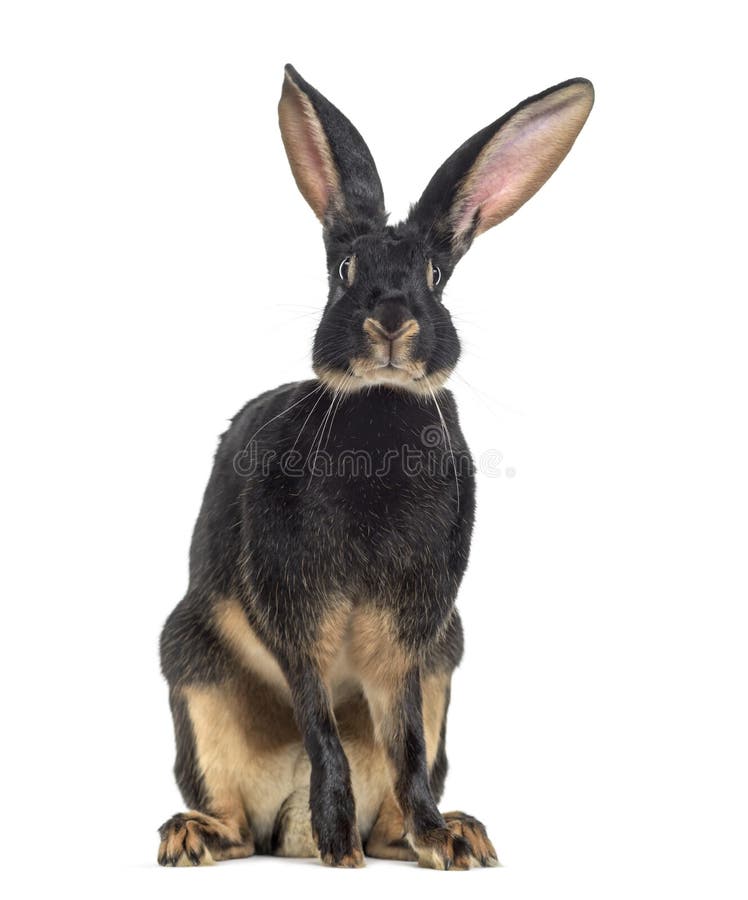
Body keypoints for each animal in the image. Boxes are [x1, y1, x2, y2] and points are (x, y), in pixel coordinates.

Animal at [157, 64, 594, 870]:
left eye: (434, 275)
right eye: (344, 268)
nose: (392, 320)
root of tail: (280, 822)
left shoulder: (410, 643)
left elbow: (408, 742)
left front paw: (437, 840)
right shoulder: (295, 612)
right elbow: (320, 718)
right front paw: (337, 845)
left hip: (445, 663)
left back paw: (452, 835)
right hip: (198, 680)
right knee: (233, 810)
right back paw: (205, 836)